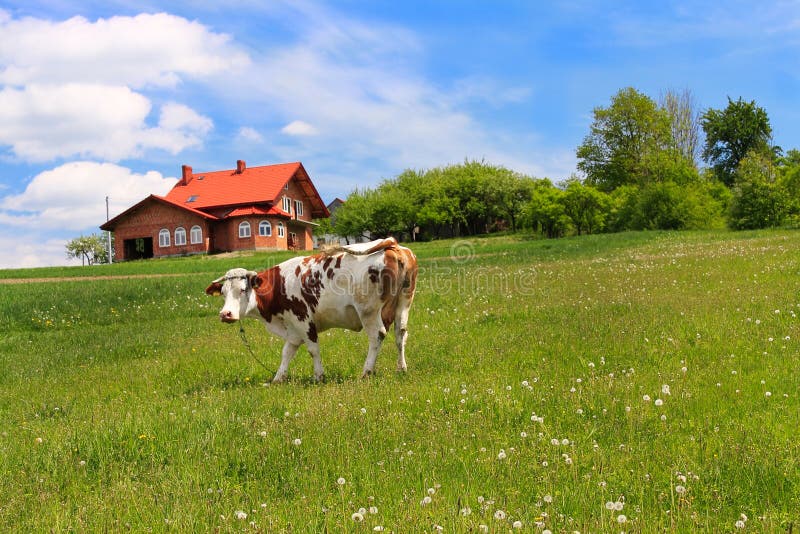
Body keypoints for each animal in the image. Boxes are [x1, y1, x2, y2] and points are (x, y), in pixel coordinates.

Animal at [205, 237, 418, 383]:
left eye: (242, 290)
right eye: (223, 292)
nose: (225, 314)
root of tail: (393, 245)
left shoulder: (303, 320)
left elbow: (313, 349)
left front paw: (319, 376)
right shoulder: (292, 328)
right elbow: (287, 352)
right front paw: (278, 378)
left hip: (368, 311)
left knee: (377, 336)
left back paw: (366, 372)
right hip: (403, 304)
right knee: (401, 334)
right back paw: (402, 368)